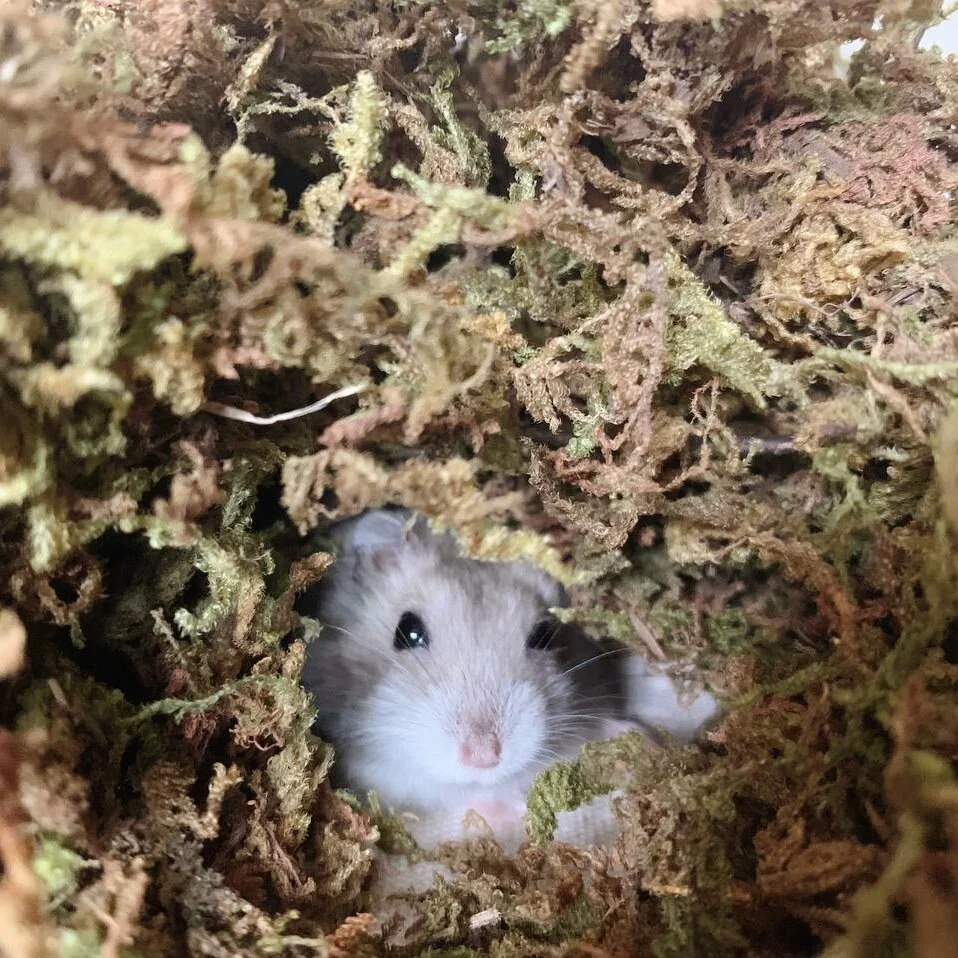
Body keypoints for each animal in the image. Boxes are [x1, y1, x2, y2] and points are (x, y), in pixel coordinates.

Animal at [298, 508, 718, 846]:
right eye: (407, 632)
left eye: (545, 635)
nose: (484, 757)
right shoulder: (366, 765)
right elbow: (447, 789)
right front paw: (510, 817)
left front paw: (649, 745)